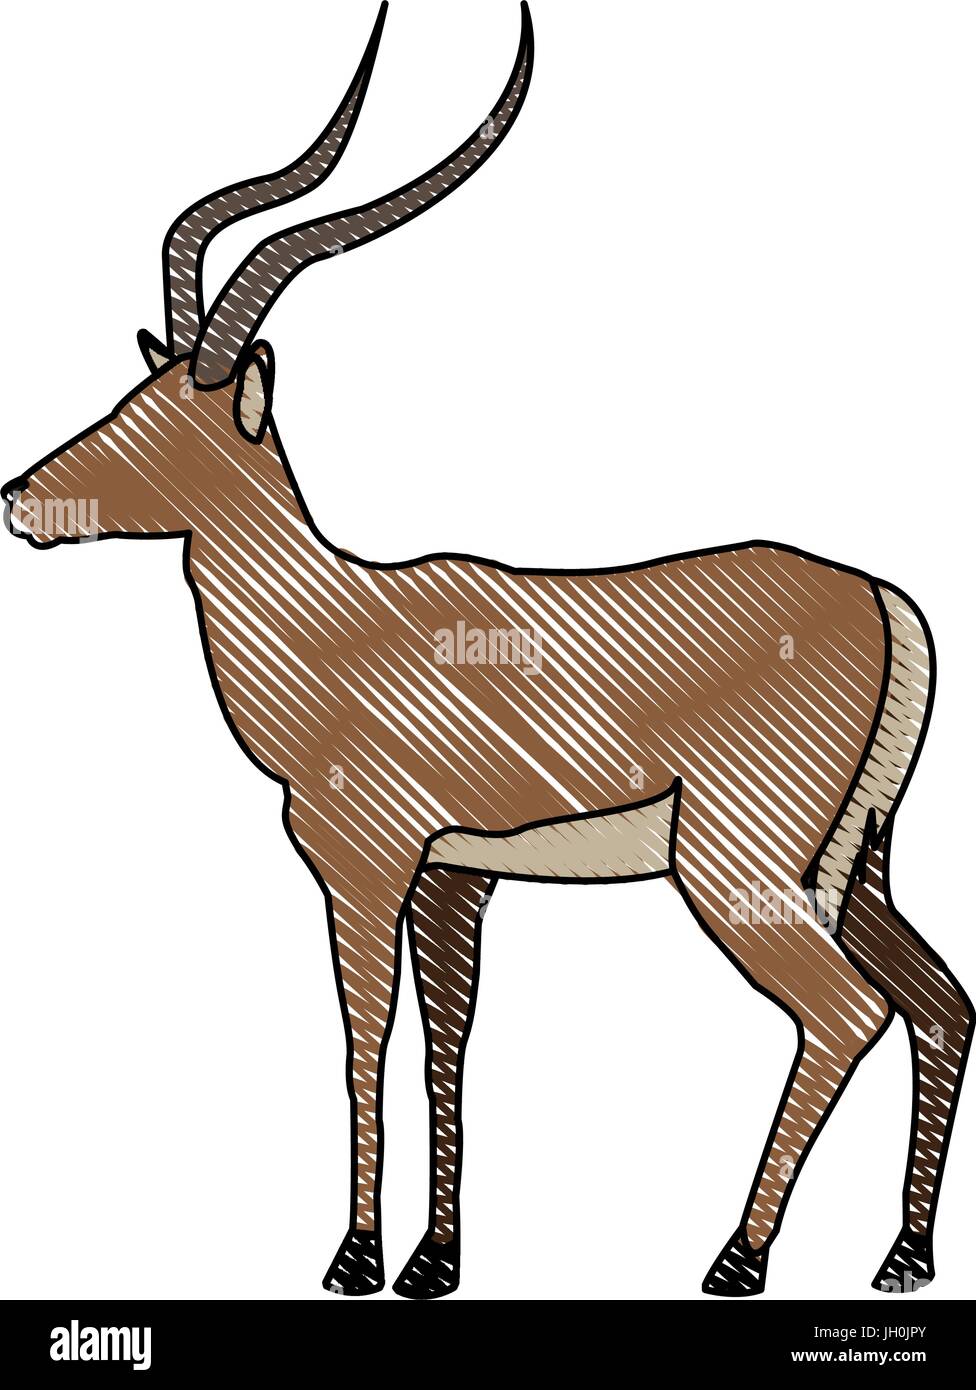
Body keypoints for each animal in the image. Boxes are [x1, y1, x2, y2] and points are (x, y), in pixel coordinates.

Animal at [4, 1, 971, 1300]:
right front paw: (433, 1260)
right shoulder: (459, 872)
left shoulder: (362, 863)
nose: (19, 498)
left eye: (153, 423)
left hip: (741, 871)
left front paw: (356, 1255)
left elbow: (365, 1035)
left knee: (846, 1013)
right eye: (124, 397)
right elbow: (448, 1043)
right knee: (941, 1000)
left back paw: (736, 1258)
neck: (340, 625)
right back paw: (903, 1257)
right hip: (854, 865)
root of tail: (884, 598)